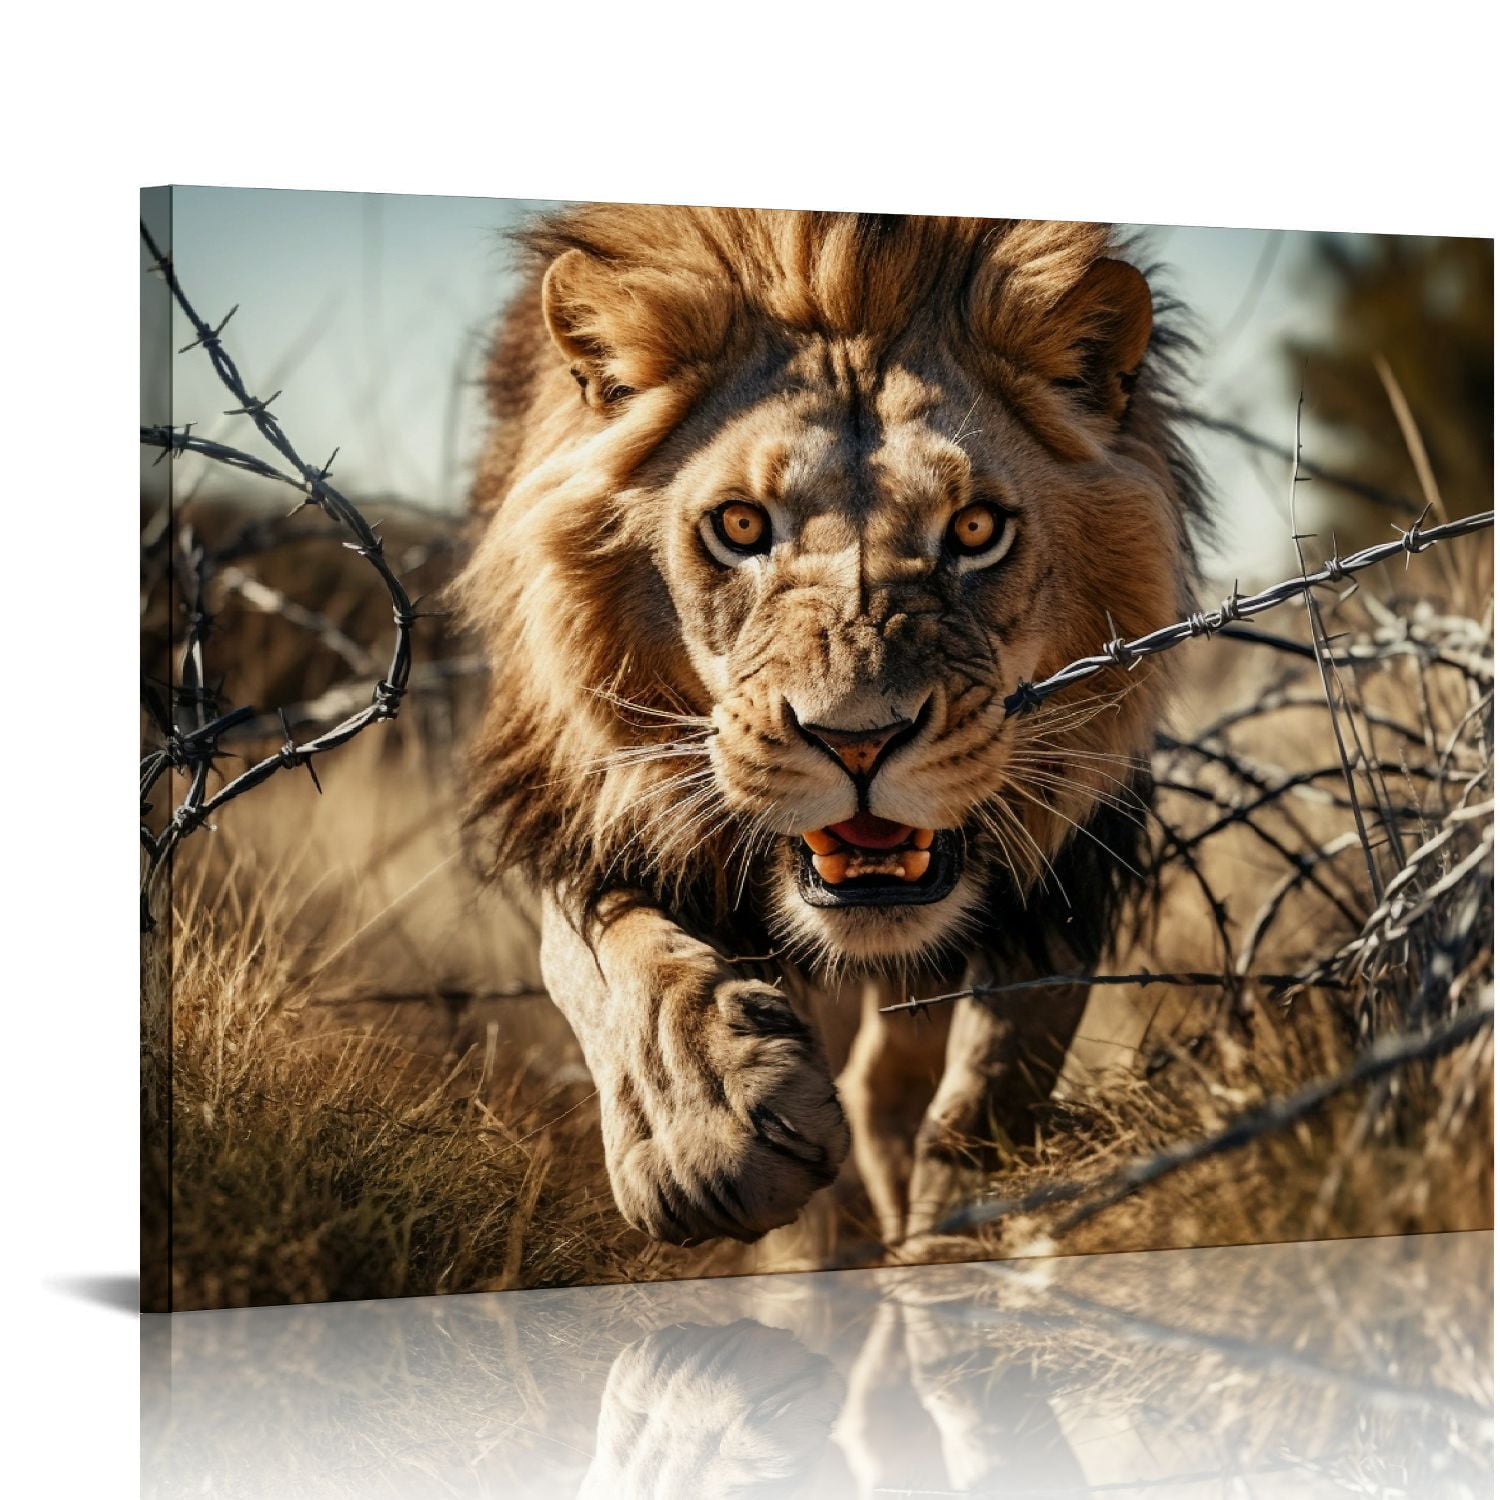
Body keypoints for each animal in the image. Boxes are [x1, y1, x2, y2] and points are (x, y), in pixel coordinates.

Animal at [458, 206, 1205, 1251]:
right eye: (738, 525)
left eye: (976, 531)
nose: (860, 741)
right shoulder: (575, 797)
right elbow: (598, 960)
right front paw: (706, 1142)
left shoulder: (1074, 857)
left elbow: (999, 1076)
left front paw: (961, 1233)